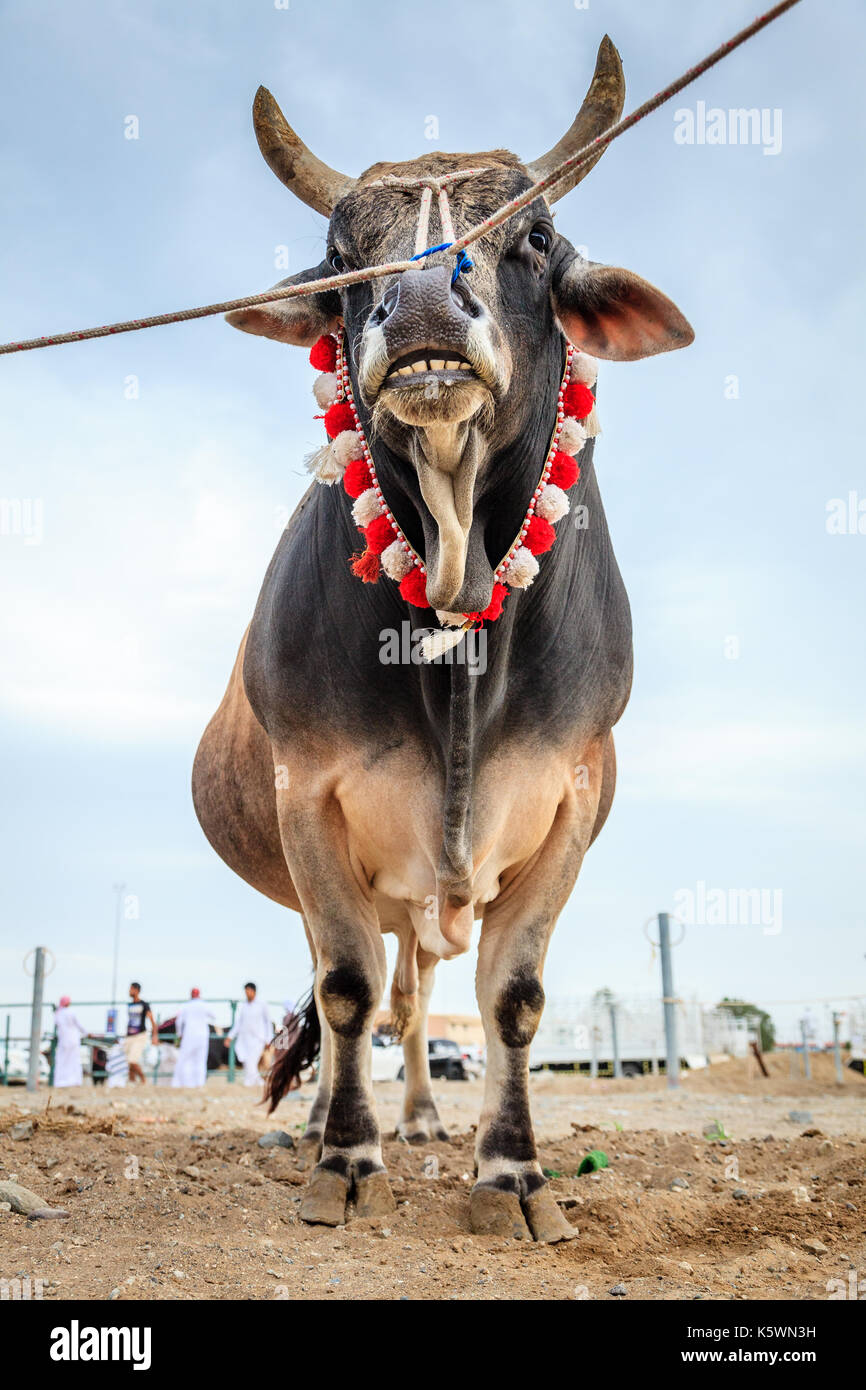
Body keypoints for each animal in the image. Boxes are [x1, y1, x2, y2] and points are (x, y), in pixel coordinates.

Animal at [192, 36, 693, 1241]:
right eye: (340, 256)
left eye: (536, 236)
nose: (420, 300)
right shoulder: (310, 794)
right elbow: (343, 988)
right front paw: (344, 1155)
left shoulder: (566, 795)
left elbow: (510, 996)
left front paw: (510, 1172)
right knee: (373, 990)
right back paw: (331, 1120)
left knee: (418, 993)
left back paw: (422, 1115)